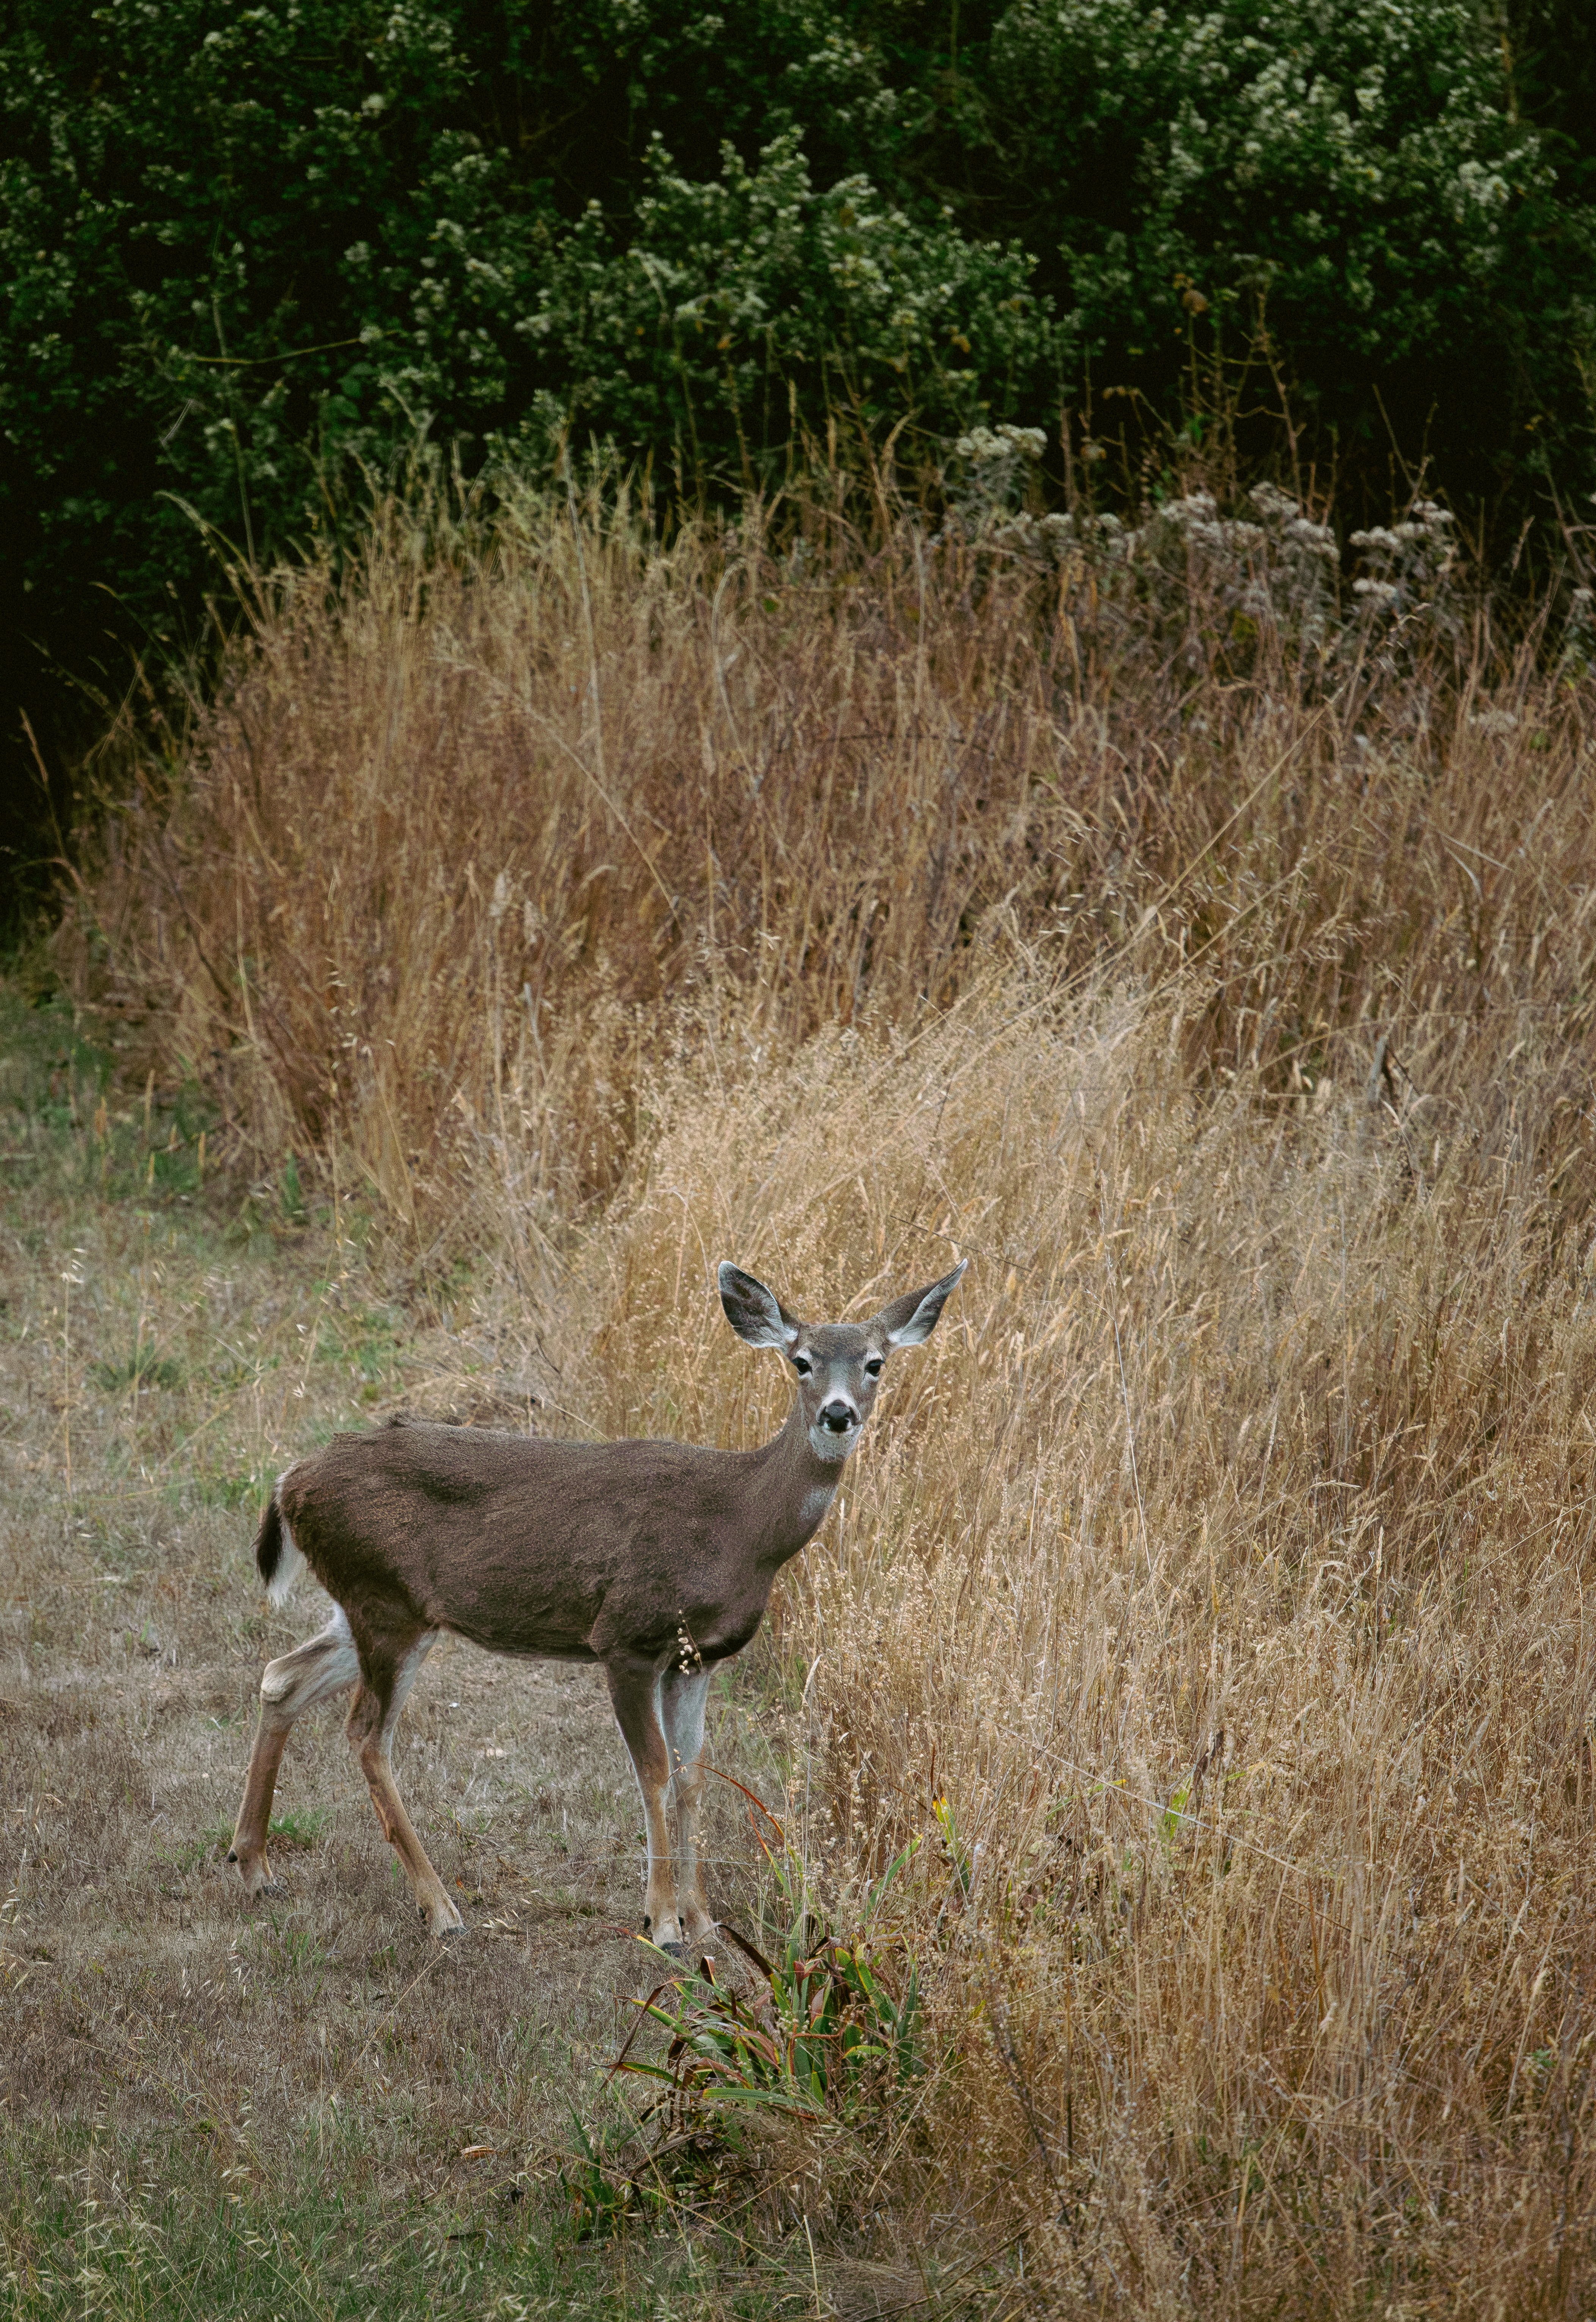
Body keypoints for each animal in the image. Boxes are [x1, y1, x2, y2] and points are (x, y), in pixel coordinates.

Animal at [227, 1257, 967, 1951]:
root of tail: (289, 1480)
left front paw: (704, 1921)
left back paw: (255, 1865)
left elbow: (695, 1775)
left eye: (874, 1362)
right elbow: (654, 1771)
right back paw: (440, 1910)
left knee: (283, 1676)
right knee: (367, 1736)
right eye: (801, 1360)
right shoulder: (626, 1637)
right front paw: (662, 1923)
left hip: (375, 1602)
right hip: (386, 1603)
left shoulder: (698, 1659)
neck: (742, 1529)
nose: (837, 1413)